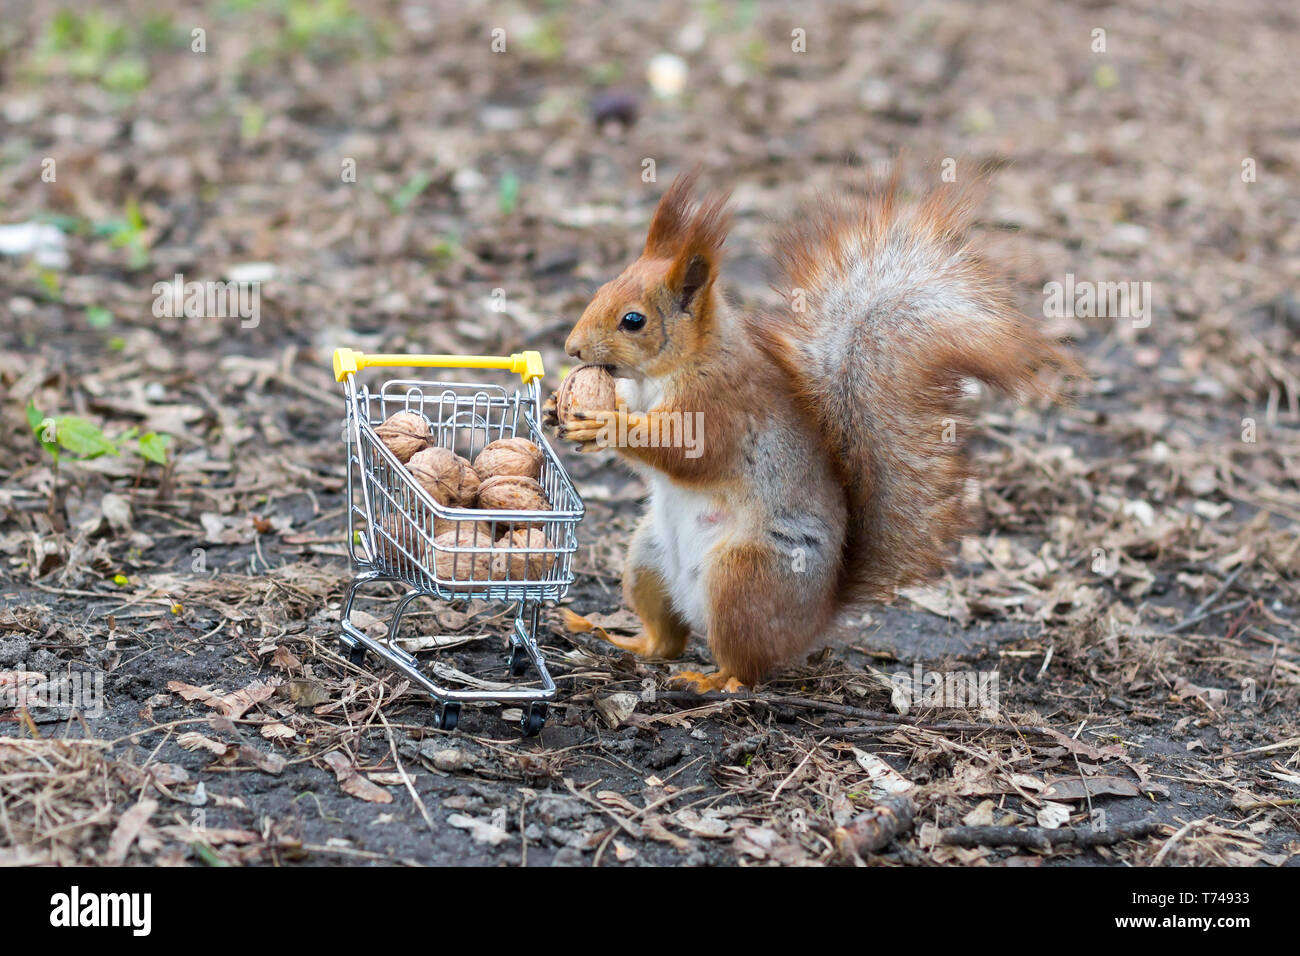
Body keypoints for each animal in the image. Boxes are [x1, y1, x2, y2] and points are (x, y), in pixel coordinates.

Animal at [544, 168, 1077, 693]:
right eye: (599, 291)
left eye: (633, 320)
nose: (571, 349)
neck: (668, 371)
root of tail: (816, 619)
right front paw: (556, 407)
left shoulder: (718, 407)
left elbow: (685, 452)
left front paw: (606, 423)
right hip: (647, 559)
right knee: (667, 641)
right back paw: (614, 636)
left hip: (744, 576)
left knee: (747, 666)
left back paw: (712, 680)